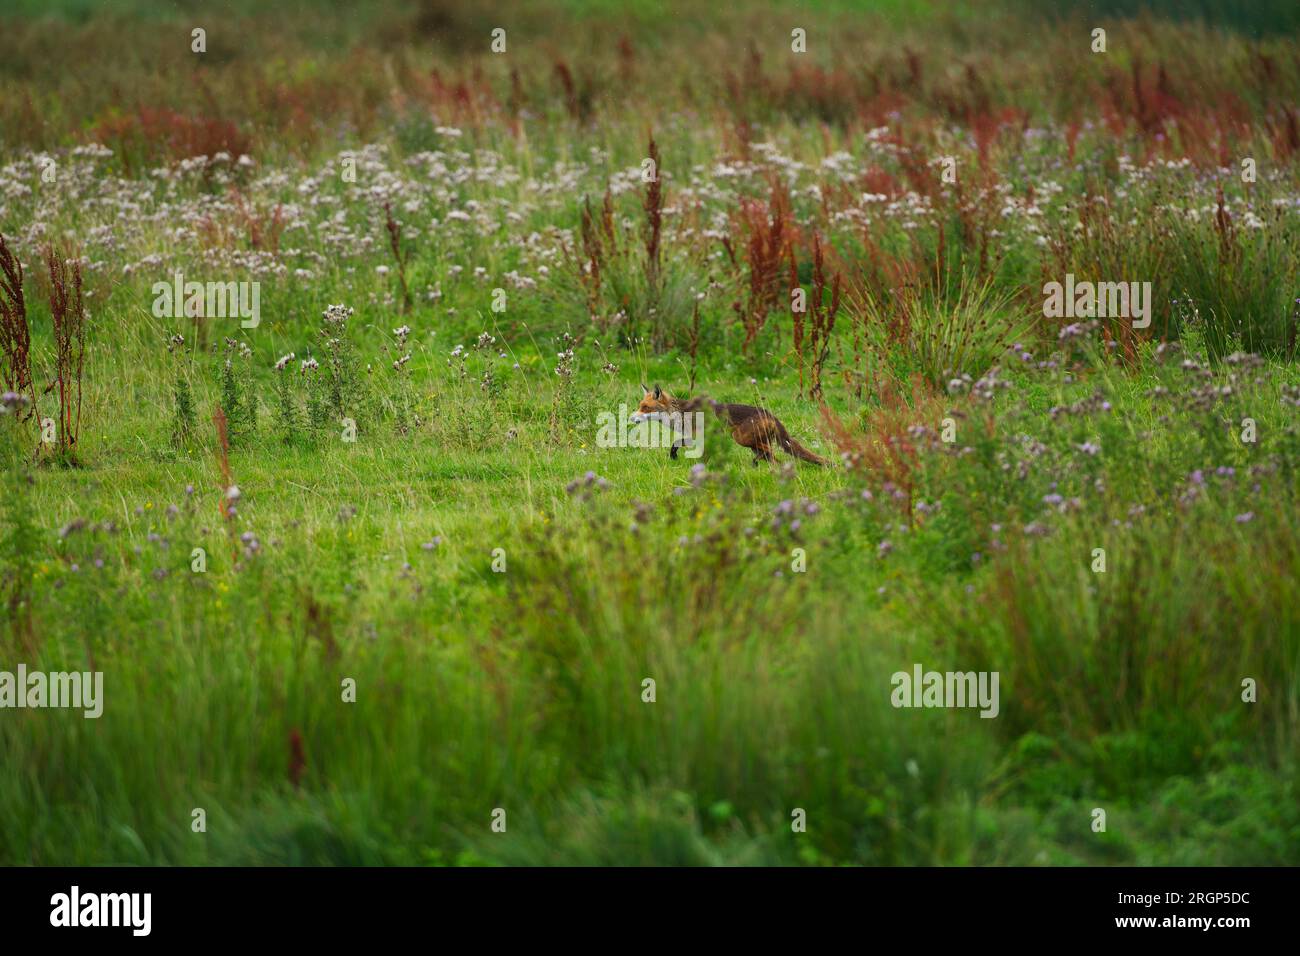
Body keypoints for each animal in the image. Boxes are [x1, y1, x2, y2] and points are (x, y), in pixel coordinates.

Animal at [630, 383, 828, 465]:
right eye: (640, 405)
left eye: (645, 407)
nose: (631, 418)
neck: (679, 413)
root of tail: (770, 413)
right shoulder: (691, 437)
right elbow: (674, 445)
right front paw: (673, 457)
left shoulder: (703, 437)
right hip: (753, 443)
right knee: (772, 457)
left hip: (740, 438)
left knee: (769, 452)